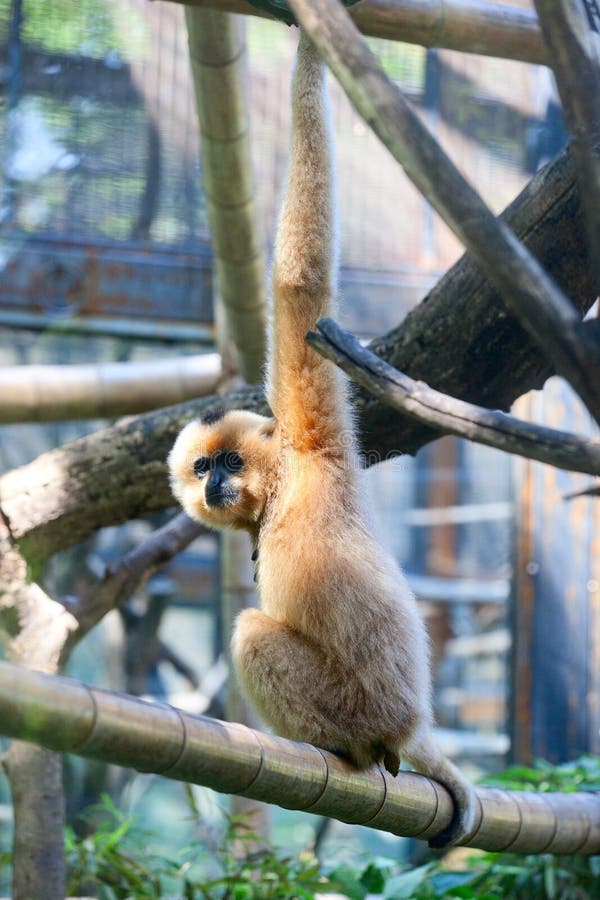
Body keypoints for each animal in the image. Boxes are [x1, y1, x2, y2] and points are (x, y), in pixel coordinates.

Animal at [168, 31, 476, 847]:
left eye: (229, 461)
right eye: (202, 467)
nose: (217, 483)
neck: (279, 487)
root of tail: (409, 721)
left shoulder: (314, 435)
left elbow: (298, 284)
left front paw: (310, 44)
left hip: (360, 705)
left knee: (251, 631)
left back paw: (346, 751)